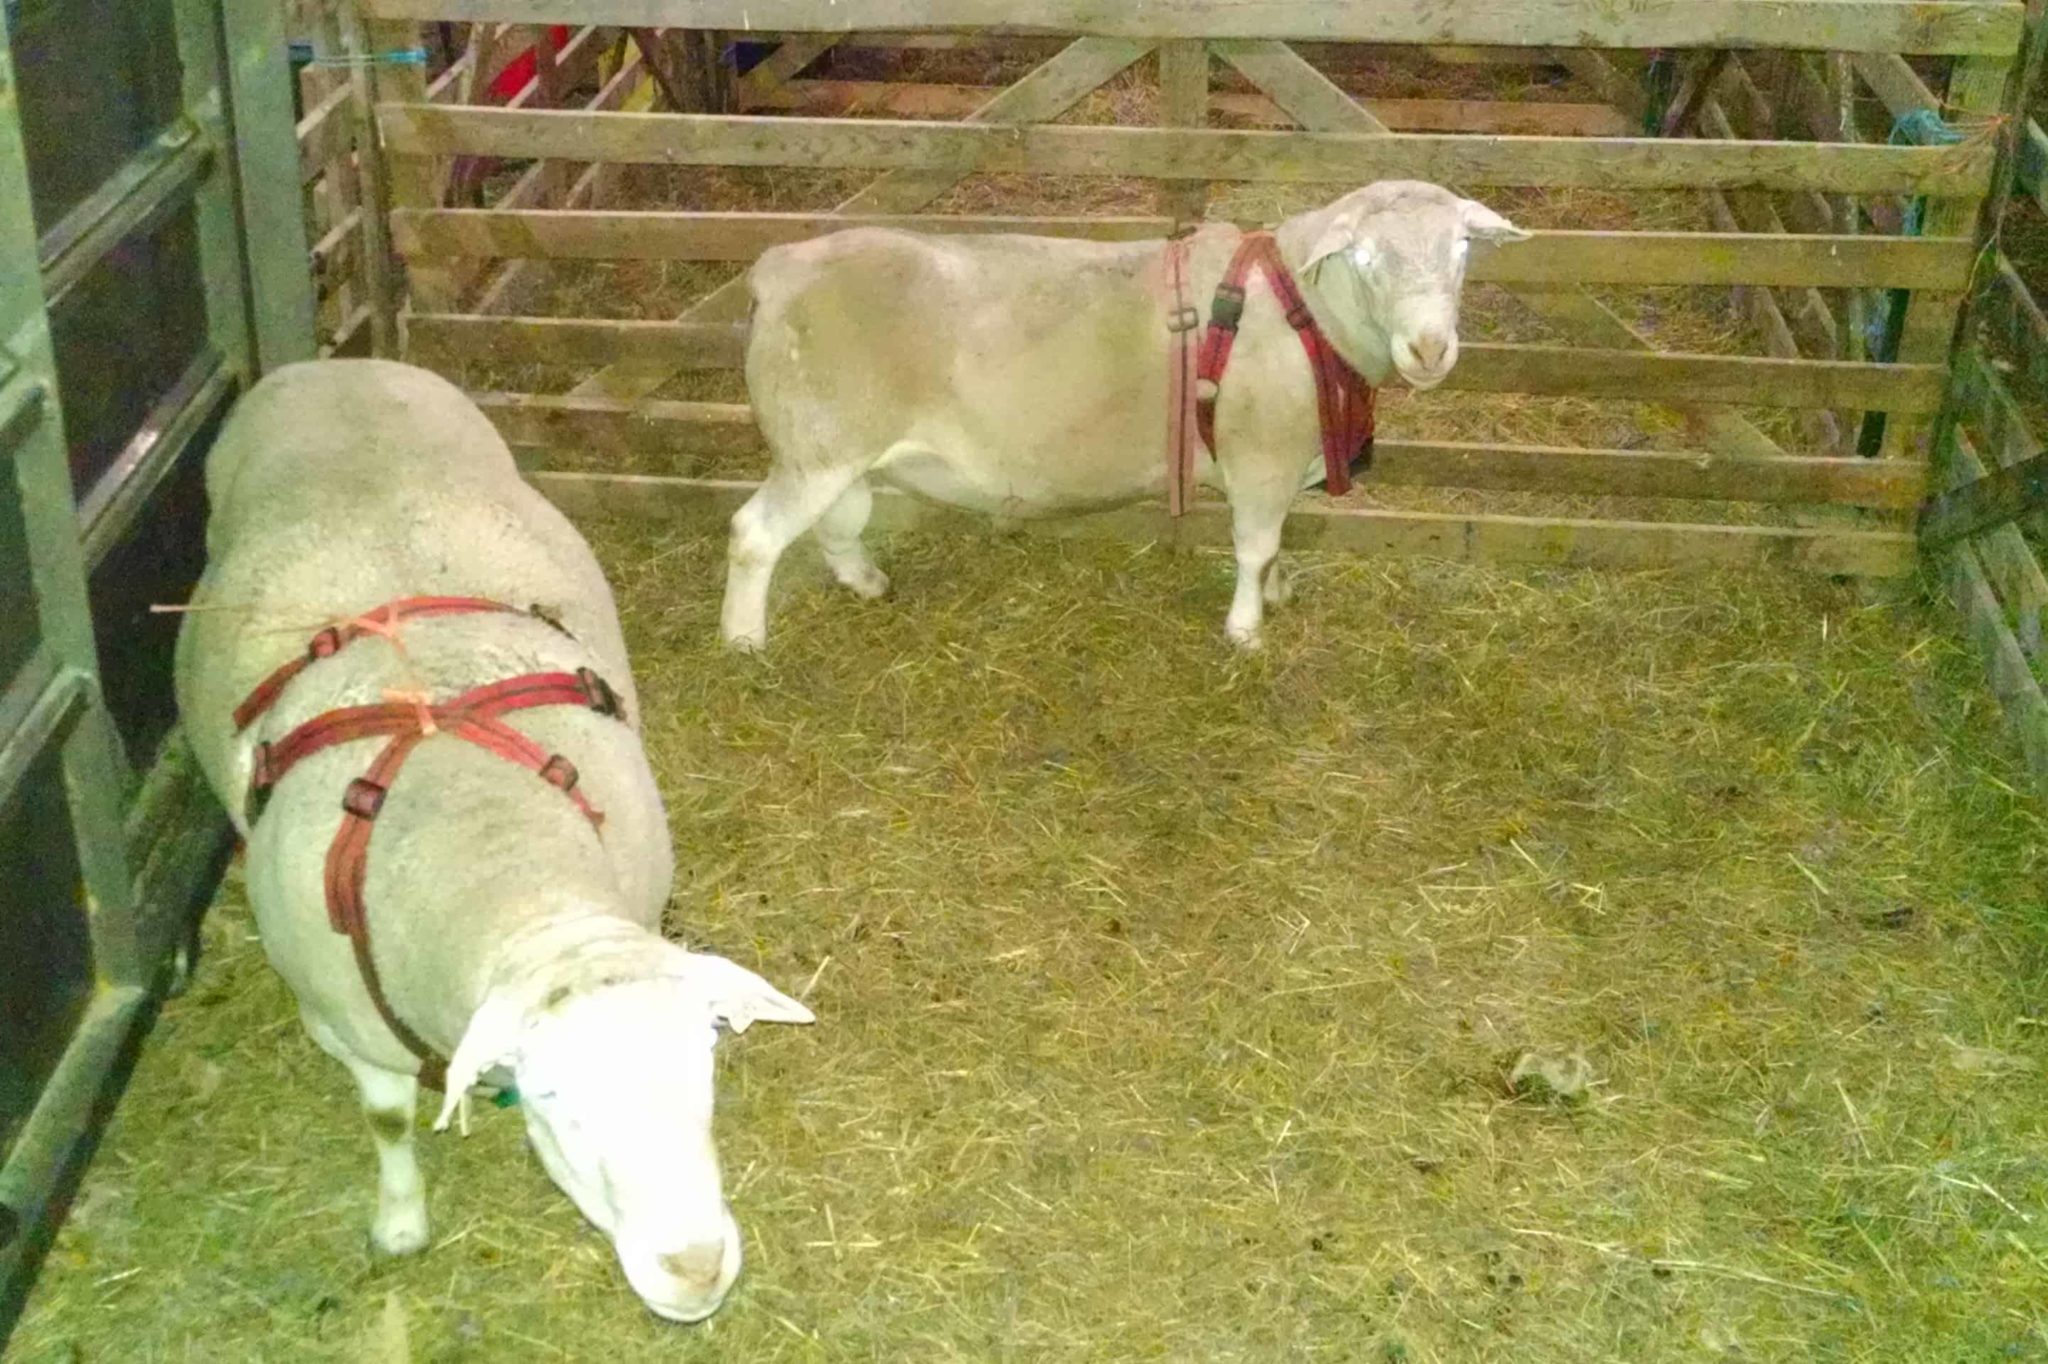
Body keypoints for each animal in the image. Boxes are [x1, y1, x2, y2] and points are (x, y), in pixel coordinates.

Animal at [173, 358, 814, 1324]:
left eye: (706, 1069)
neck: (504, 862)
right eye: (554, 1099)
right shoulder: (341, 1024)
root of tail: (333, 363)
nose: (696, 1270)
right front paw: (400, 1224)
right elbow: (388, 1122)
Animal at [723, 179, 1528, 652]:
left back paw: (865, 583)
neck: (1302, 303)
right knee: (754, 535)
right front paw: (1245, 630)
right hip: (819, 443)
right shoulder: (1261, 455)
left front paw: (1274, 596)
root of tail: (776, 268)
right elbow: (1255, 546)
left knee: (837, 520)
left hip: (830, 444)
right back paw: (743, 639)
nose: (1430, 348)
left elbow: (1274, 545)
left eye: (1462, 247)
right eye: (1364, 258)